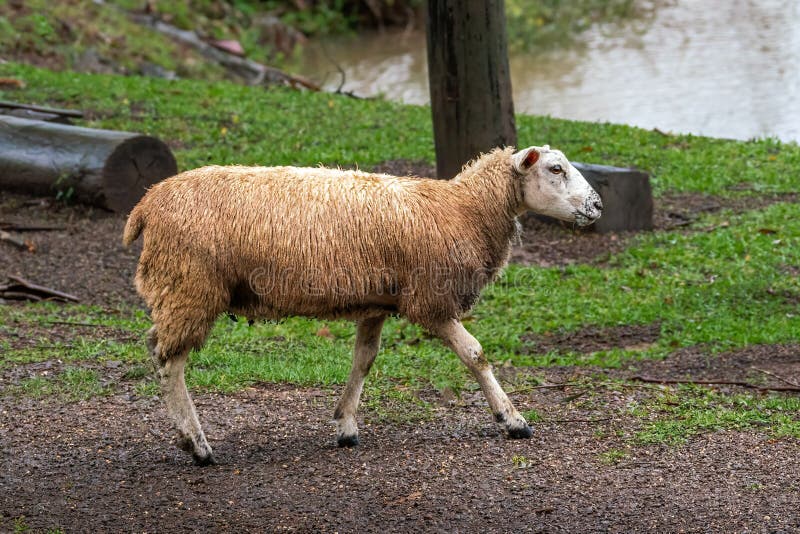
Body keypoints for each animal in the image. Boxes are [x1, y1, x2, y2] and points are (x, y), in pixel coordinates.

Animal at [123, 144, 602, 465]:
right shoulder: (429, 301)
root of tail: (146, 202)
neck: (464, 210)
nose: (597, 205)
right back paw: (197, 445)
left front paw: (346, 425)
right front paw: (513, 419)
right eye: (556, 168)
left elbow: (363, 359)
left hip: (179, 287)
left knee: (155, 348)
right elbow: (475, 354)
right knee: (170, 362)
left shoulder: (377, 303)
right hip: (191, 285)